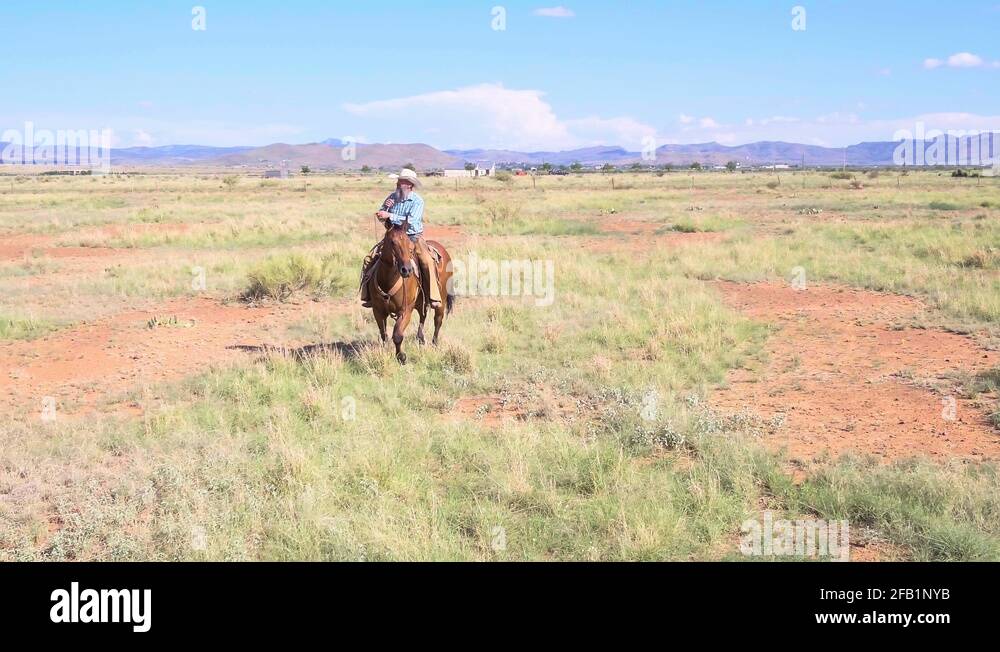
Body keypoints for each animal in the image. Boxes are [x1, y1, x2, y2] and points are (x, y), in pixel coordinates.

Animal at [365, 217, 454, 363]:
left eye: (410, 245)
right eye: (392, 242)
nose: (406, 270)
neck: (388, 282)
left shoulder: (405, 310)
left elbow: (397, 334)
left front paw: (401, 357)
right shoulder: (377, 310)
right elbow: (384, 334)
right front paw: (386, 351)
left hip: (441, 300)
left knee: (438, 320)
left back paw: (434, 344)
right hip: (421, 301)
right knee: (423, 315)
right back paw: (421, 339)